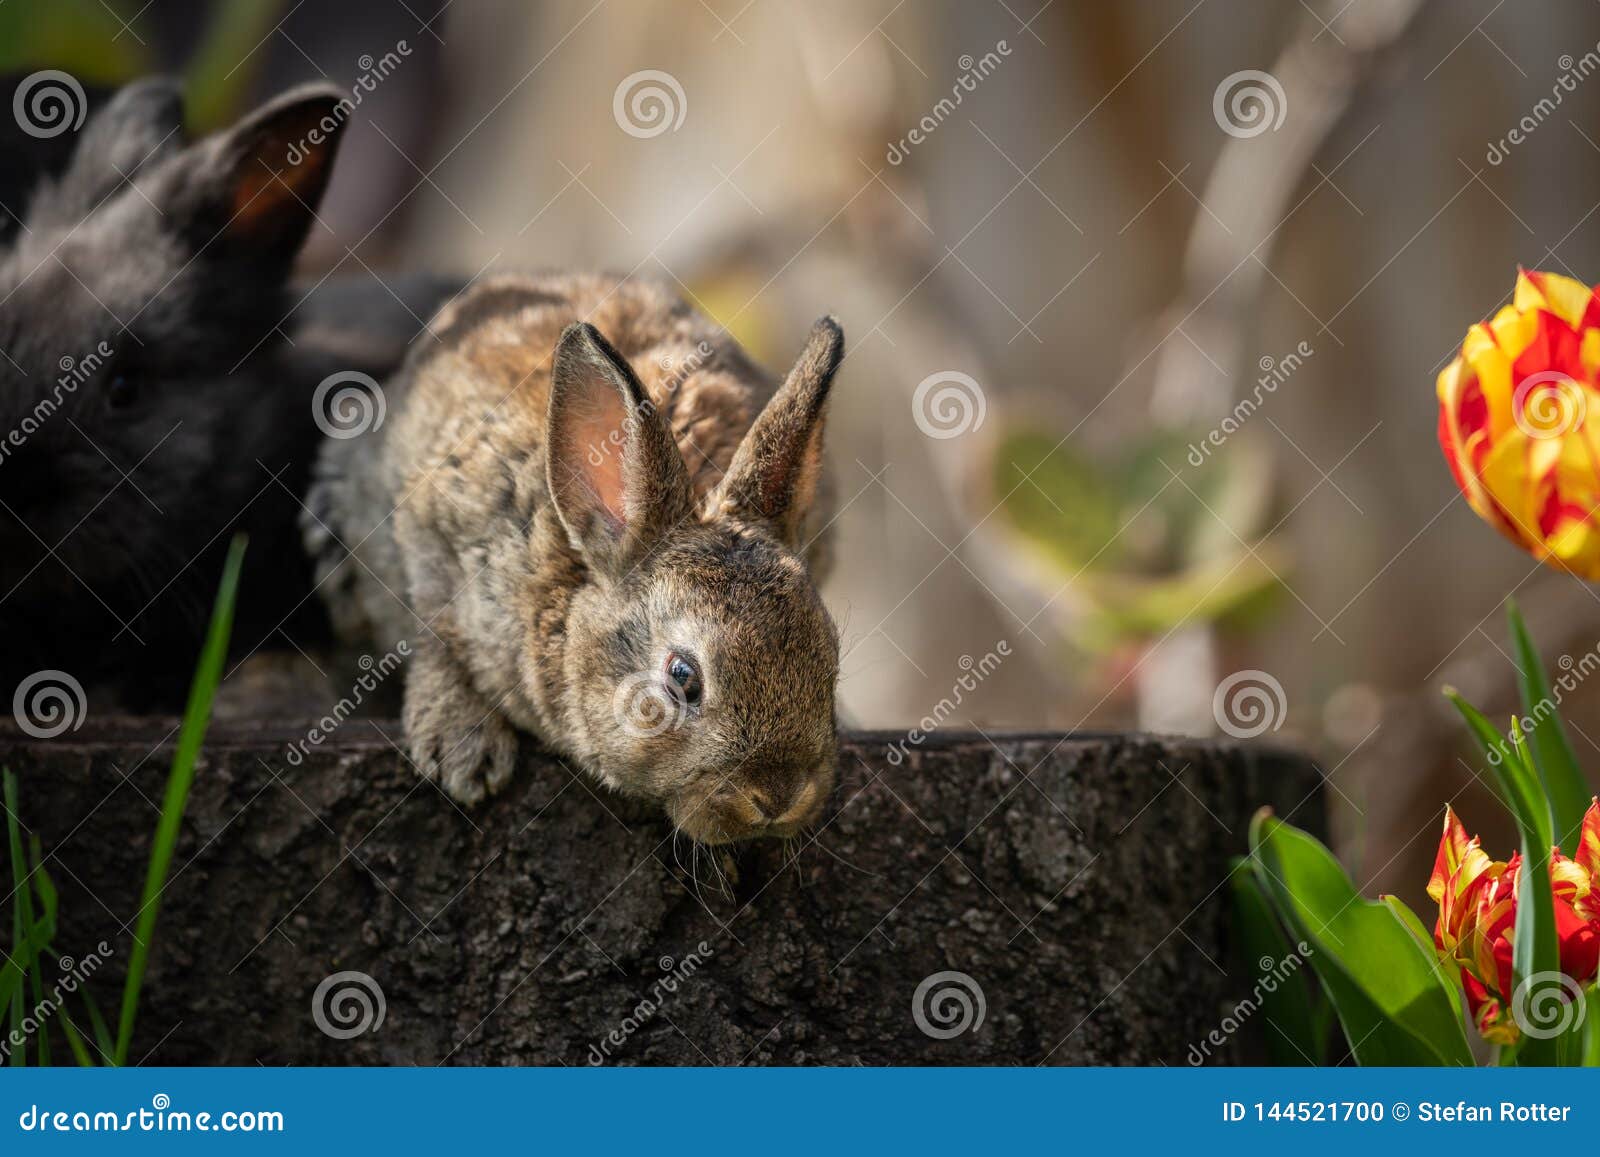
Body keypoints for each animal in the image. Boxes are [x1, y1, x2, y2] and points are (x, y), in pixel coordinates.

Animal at [306, 273, 845, 843]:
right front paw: (463, 755)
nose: (778, 796)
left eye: (829, 656)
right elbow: (436, 636)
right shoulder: (432, 537)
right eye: (683, 677)